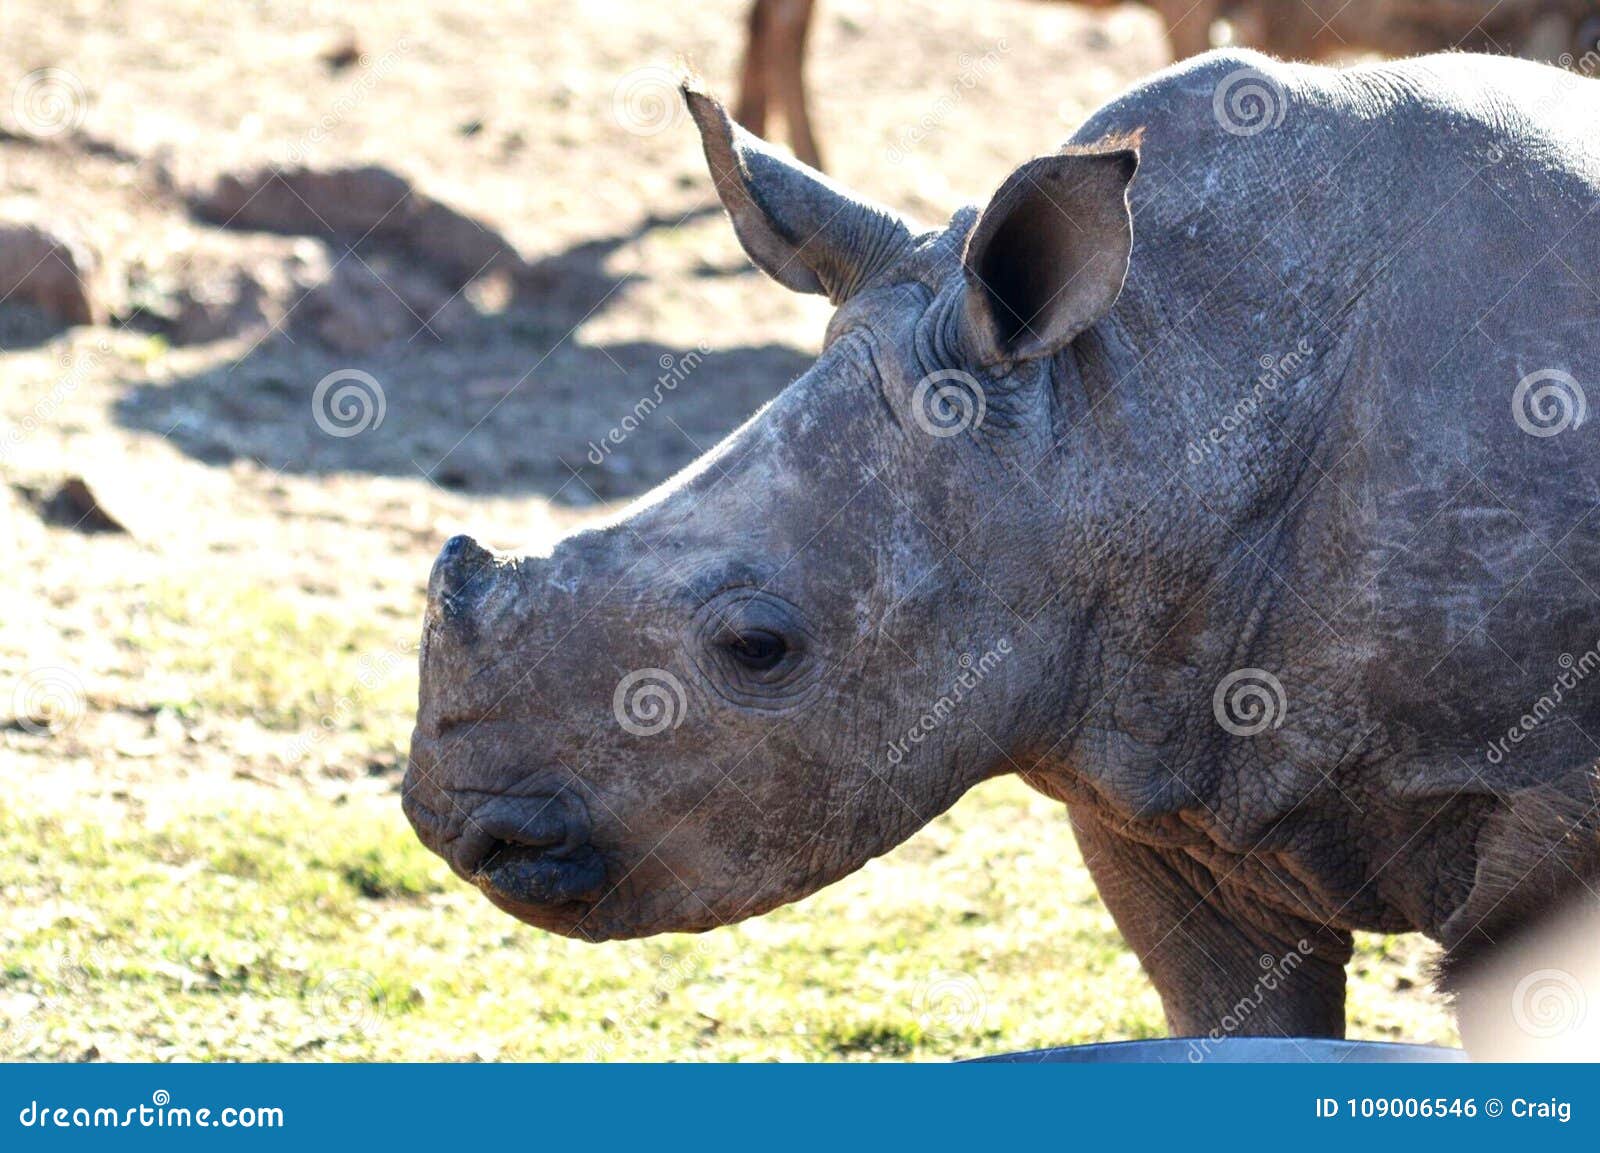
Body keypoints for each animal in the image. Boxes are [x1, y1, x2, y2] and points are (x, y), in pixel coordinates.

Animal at [404, 49, 1600, 1052]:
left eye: (758, 648)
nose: (456, 824)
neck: (1138, 408)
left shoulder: (1545, 791)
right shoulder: (1149, 752)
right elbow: (1233, 1011)